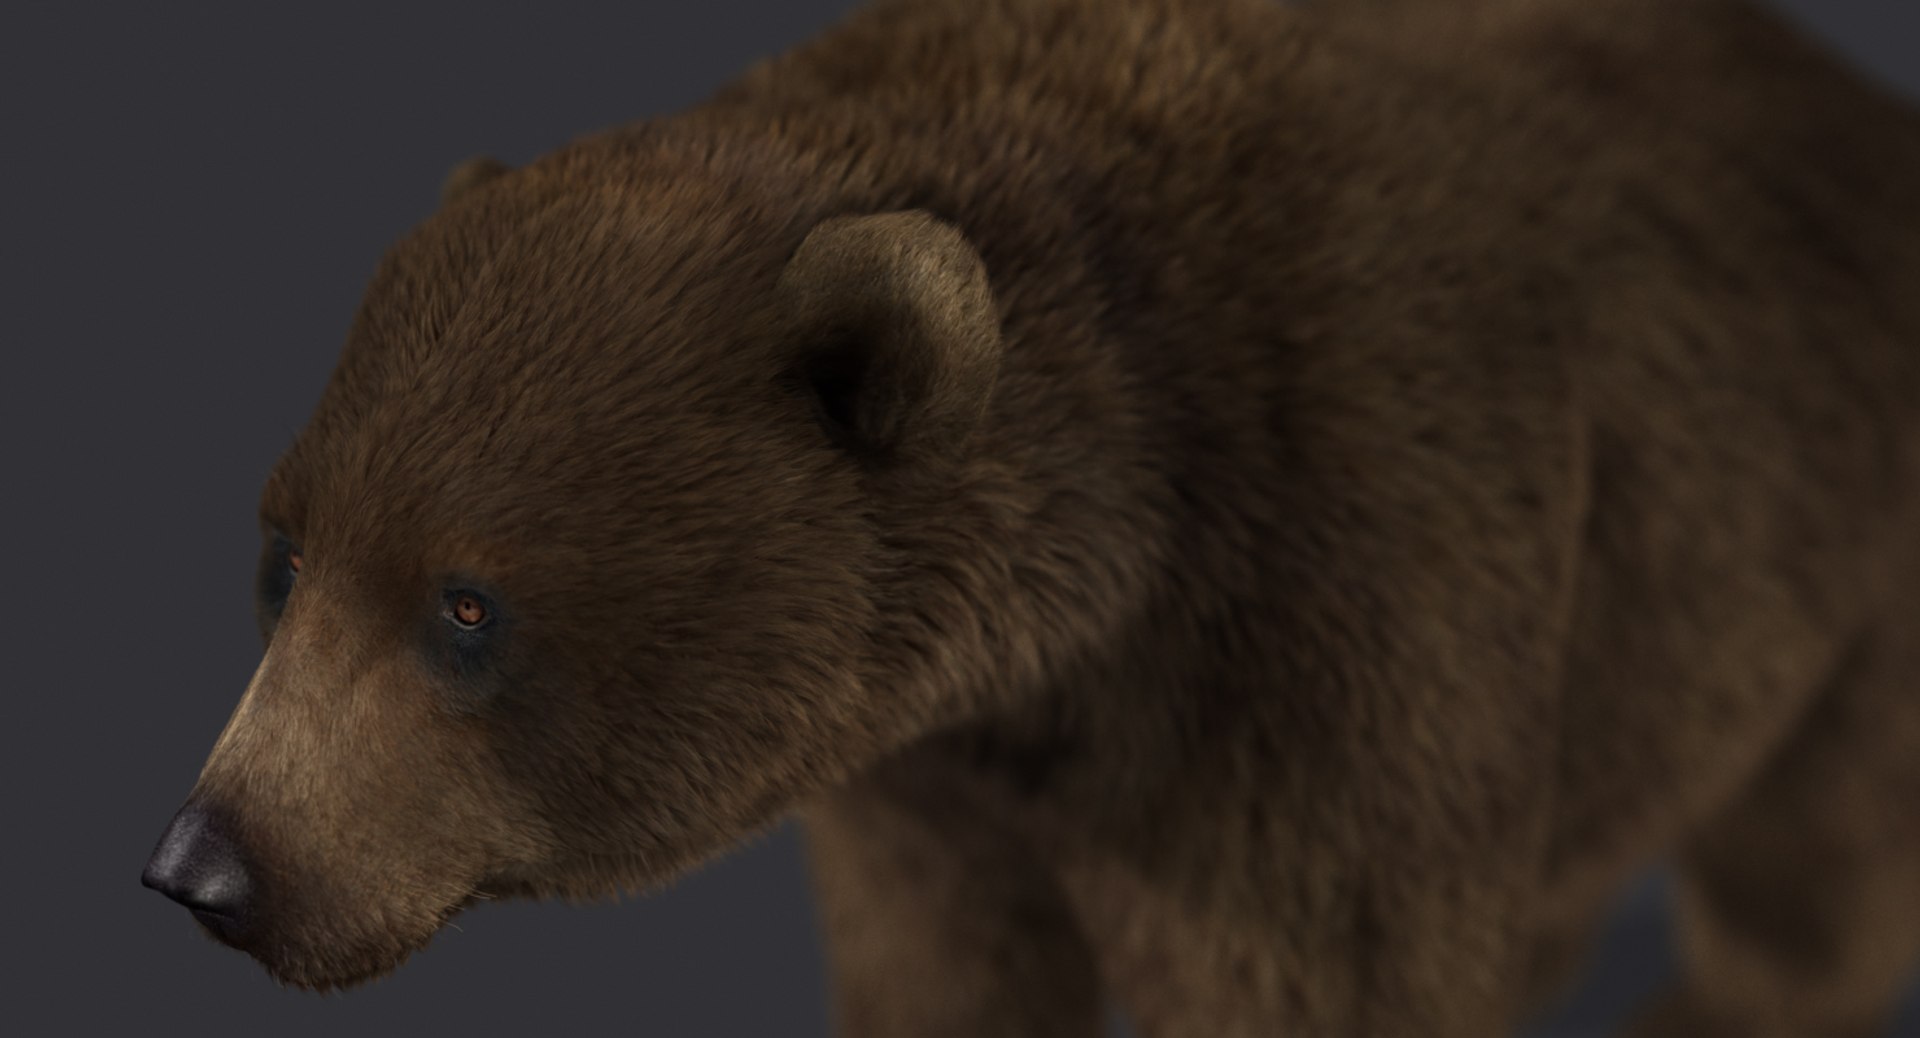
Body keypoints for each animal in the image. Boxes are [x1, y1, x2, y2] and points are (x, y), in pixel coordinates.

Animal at [139, 0, 1920, 1035]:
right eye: (283, 555)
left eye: (465, 604)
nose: (207, 865)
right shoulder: (931, 778)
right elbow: (952, 965)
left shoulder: (1339, 605)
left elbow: (1324, 959)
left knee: (1811, 831)